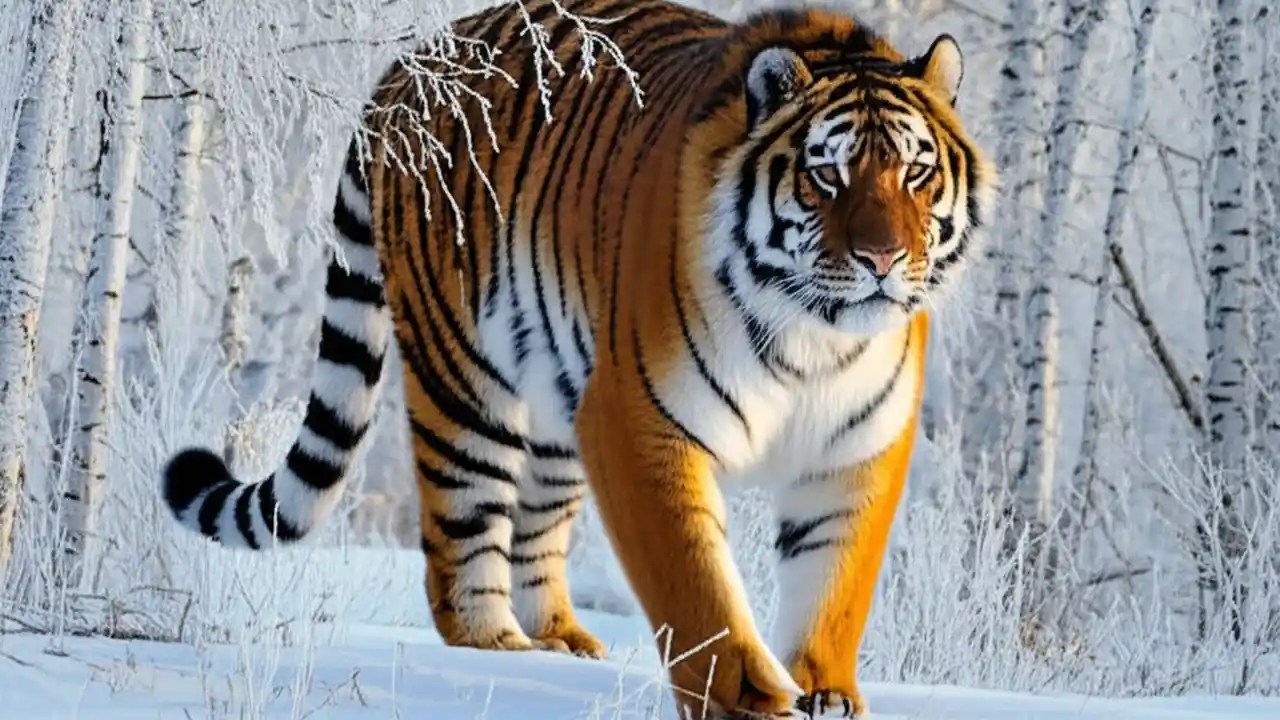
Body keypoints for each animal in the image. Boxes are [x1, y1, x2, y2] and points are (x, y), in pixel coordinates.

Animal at [160, 0, 995, 716]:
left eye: (916, 172)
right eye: (827, 174)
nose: (882, 259)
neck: (814, 338)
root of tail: (410, 62)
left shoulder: (856, 449)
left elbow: (834, 581)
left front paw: (825, 692)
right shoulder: (644, 421)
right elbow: (696, 582)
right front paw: (747, 698)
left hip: (562, 396)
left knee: (534, 526)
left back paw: (561, 643)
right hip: (466, 381)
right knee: (463, 532)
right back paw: (496, 651)